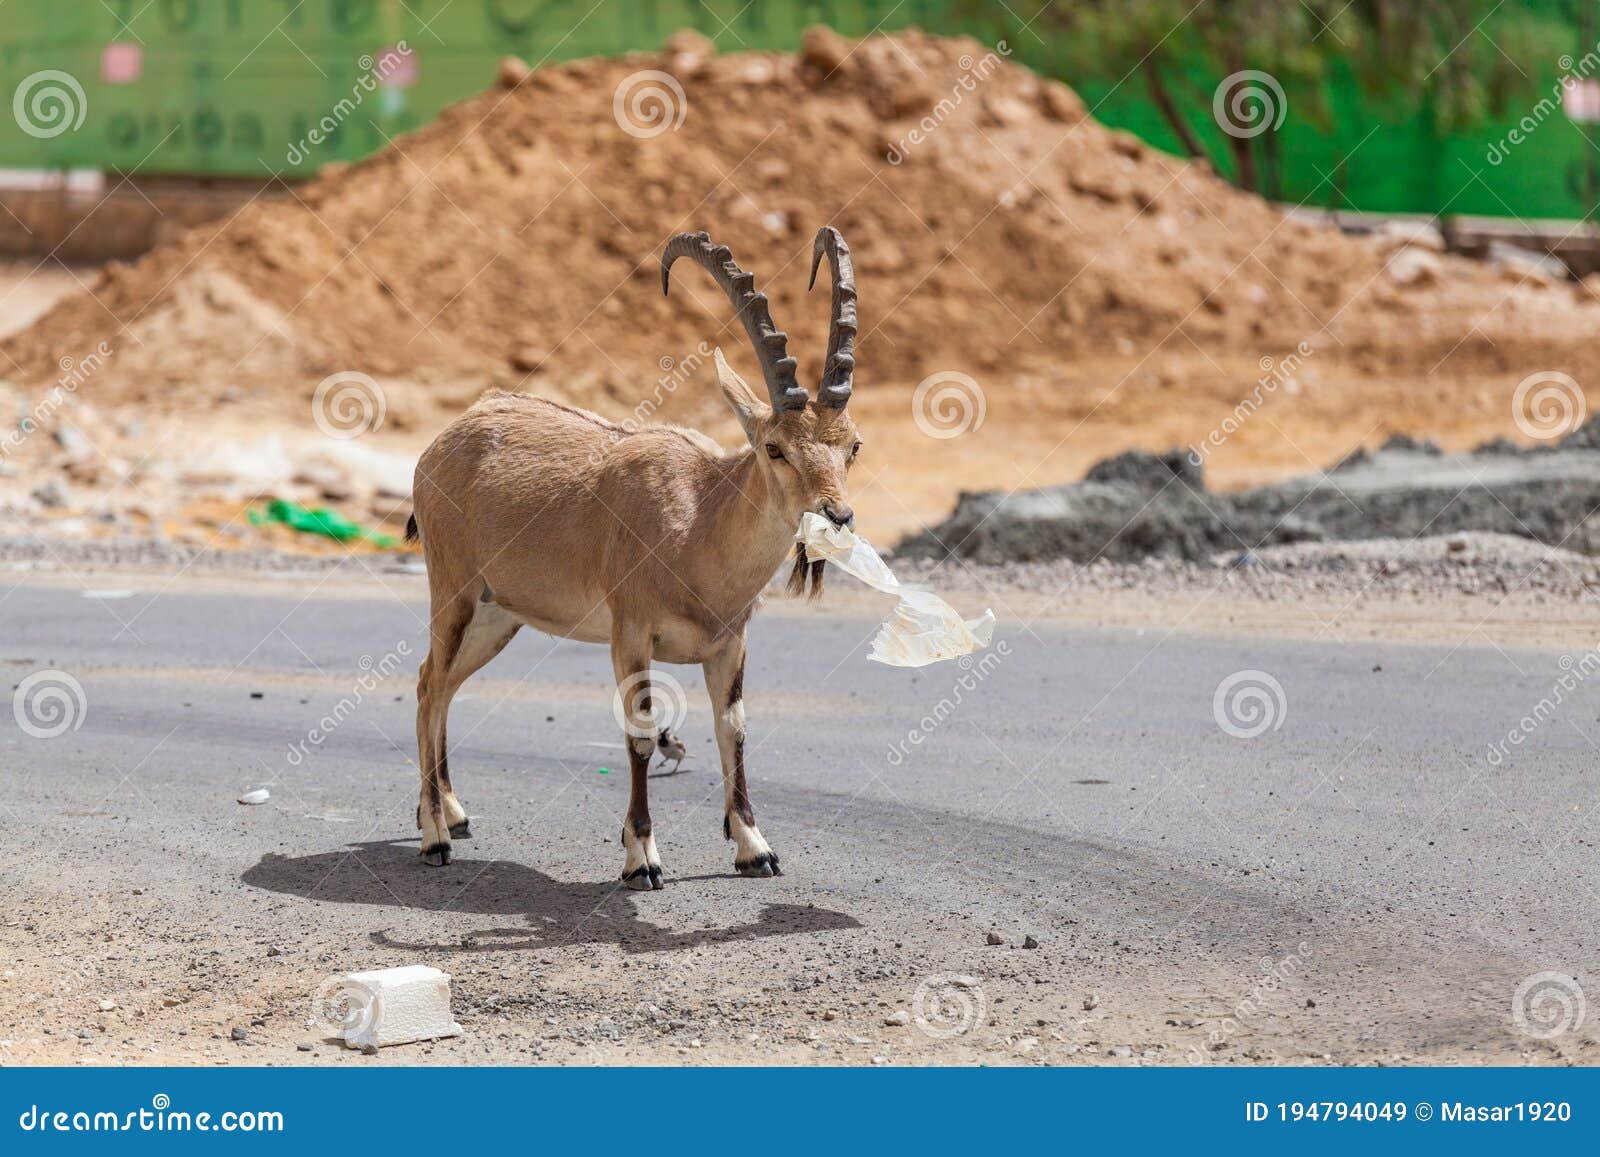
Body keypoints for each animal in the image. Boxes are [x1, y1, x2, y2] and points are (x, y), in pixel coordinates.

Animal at [406, 227, 862, 889]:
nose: (837, 517)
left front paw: (755, 848)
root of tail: (440, 444)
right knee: (429, 686)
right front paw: (641, 857)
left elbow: (734, 730)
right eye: (775, 448)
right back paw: (435, 836)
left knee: (439, 686)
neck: (698, 525)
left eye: (852, 446)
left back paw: (449, 813)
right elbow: (642, 735)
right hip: (453, 590)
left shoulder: (729, 643)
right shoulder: (631, 634)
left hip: (498, 616)